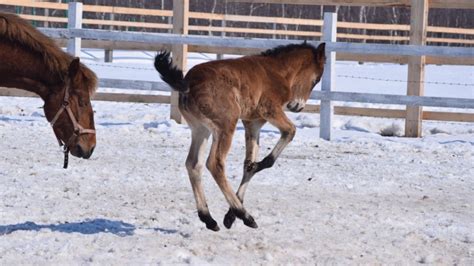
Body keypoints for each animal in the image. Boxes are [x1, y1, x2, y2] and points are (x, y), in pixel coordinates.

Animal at [156, 41, 326, 231]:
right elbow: (290, 132)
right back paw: (245, 215)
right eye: (317, 79)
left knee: (193, 164)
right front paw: (258, 167)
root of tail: (188, 83)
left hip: (200, 129)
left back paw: (209, 218)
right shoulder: (269, 110)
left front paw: (230, 216)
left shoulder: (253, 124)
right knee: (214, 164)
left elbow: (247, 165)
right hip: (225, 126)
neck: (277, 70)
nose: (298, 106)